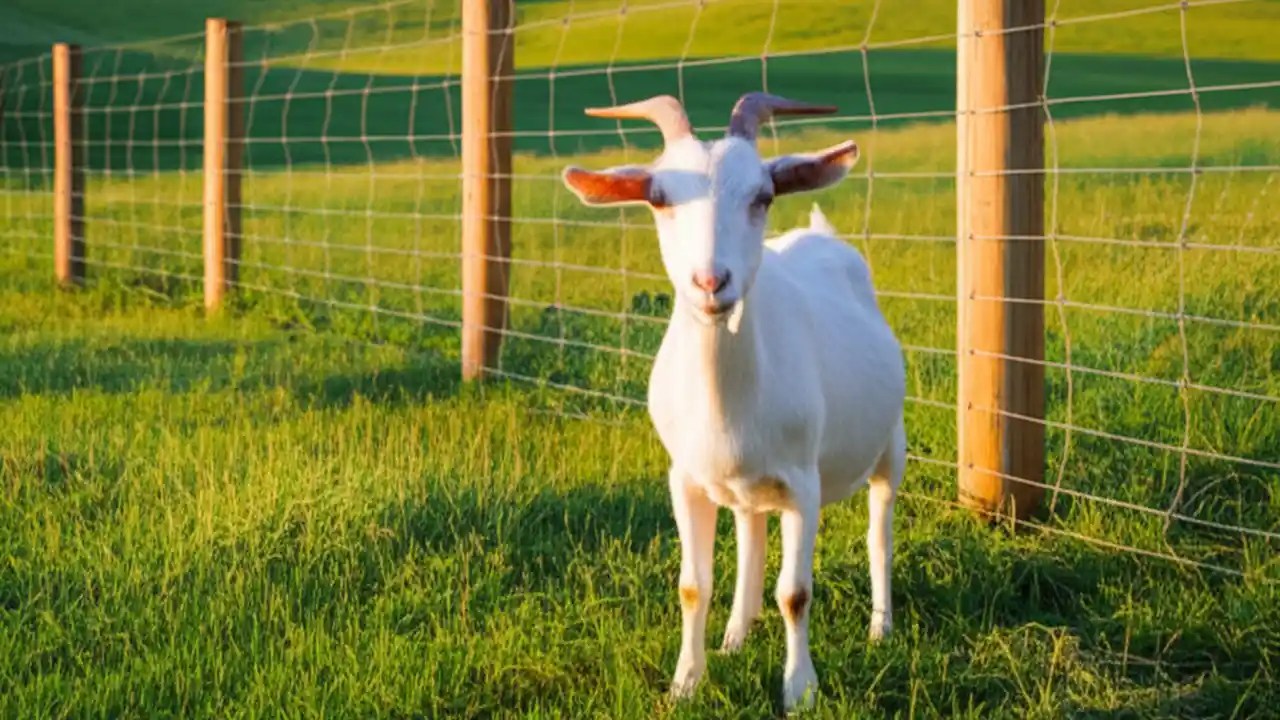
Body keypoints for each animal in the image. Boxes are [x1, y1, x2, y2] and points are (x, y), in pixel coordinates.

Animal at [561, 93, 906, 711]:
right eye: (658, 198)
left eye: (763, 196)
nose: (710, 282)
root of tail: (819, 232)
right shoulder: (685, 479)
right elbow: (692, 585)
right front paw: (685, 683)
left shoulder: (803, 484)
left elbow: (795, 593)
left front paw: (800, 691)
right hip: (746, 488)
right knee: (750, 534)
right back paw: (735, 636)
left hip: (892, 445)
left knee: (880, 533)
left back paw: (879, 628)